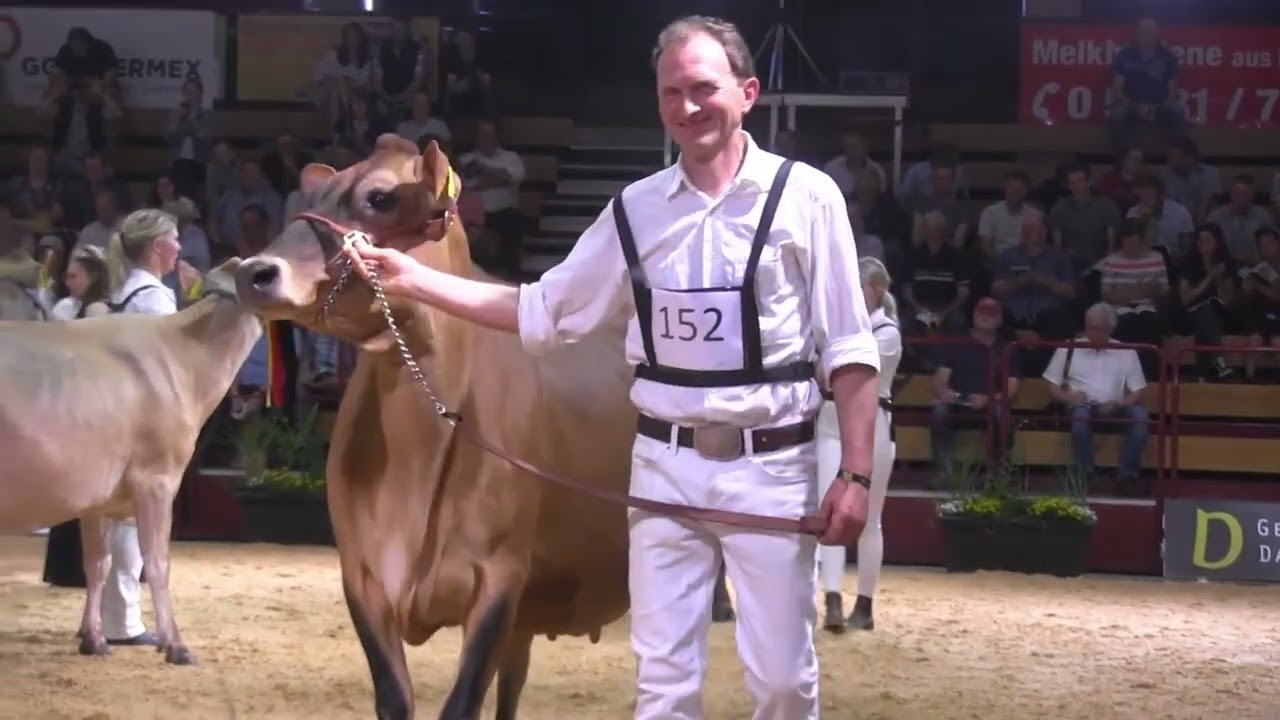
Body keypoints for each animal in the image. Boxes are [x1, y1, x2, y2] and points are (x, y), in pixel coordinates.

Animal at [0, 259, 262, 665]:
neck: (184, 359)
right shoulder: (156, 479)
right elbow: (157, 563)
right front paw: (176, 645)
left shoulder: (96, 496)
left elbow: (97, 564)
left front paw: (93, 639)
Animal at [232, 135, 636, 719]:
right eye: (311, 195)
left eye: (379, 197)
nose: (253, 272)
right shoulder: (361, 575)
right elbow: (394, 698)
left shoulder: (499, 578)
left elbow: (462, 703)